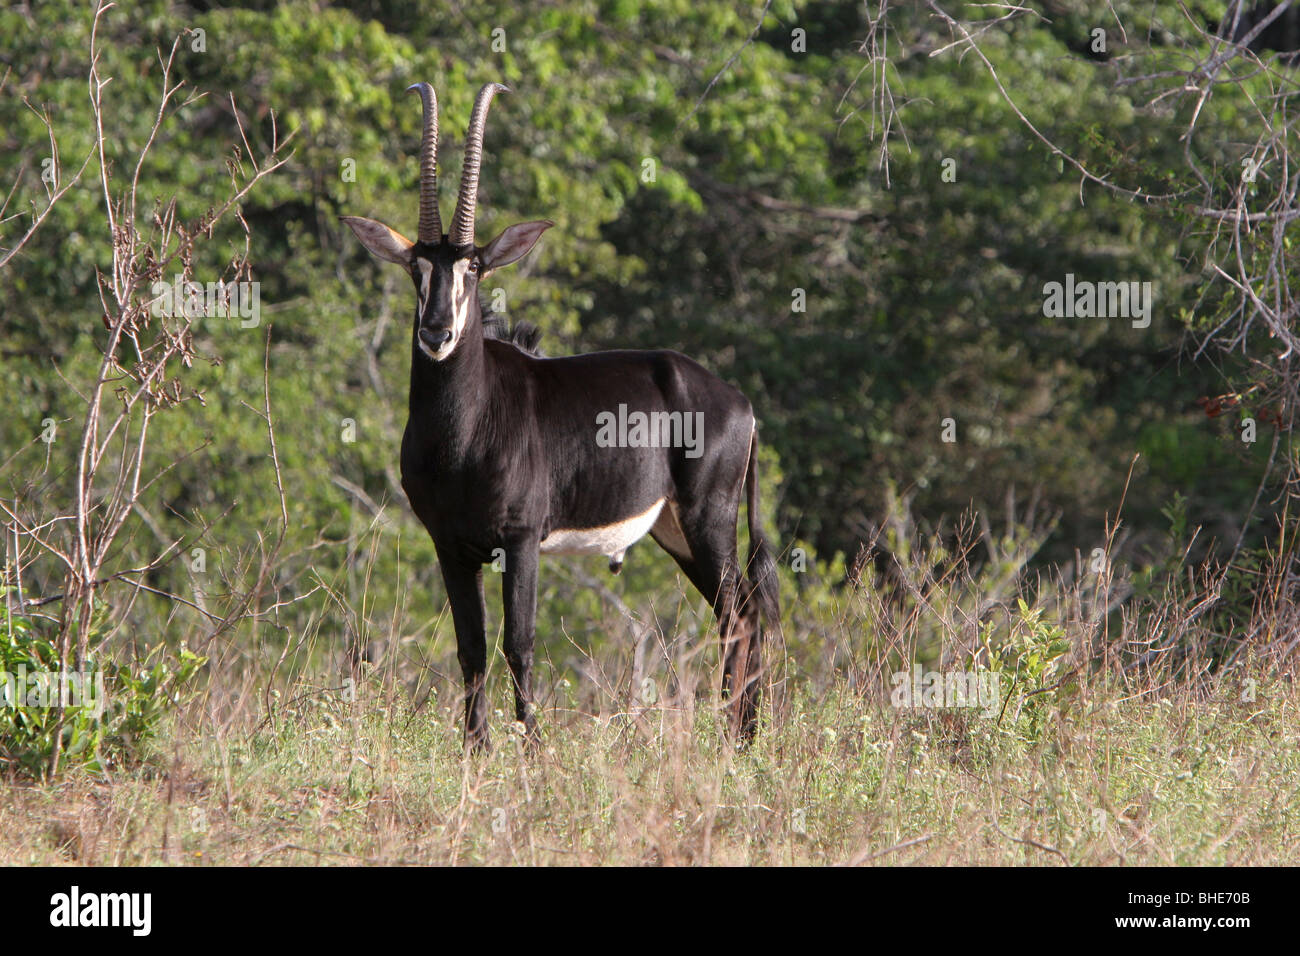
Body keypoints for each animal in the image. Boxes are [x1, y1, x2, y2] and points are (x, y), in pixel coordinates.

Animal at [342, 82, 779, 752]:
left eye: (474, 267)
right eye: (416, 267)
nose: (437, 333)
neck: (461, 432)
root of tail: (742, 404)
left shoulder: (521, 540)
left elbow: (518, 643)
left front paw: (530, 747)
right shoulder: (451, 545)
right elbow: (471, 650)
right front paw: (475, 748)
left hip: (709, 518)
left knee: (740, 613)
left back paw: (739, 737)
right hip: (674, 529)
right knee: (739, 613)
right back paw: (742, 734)